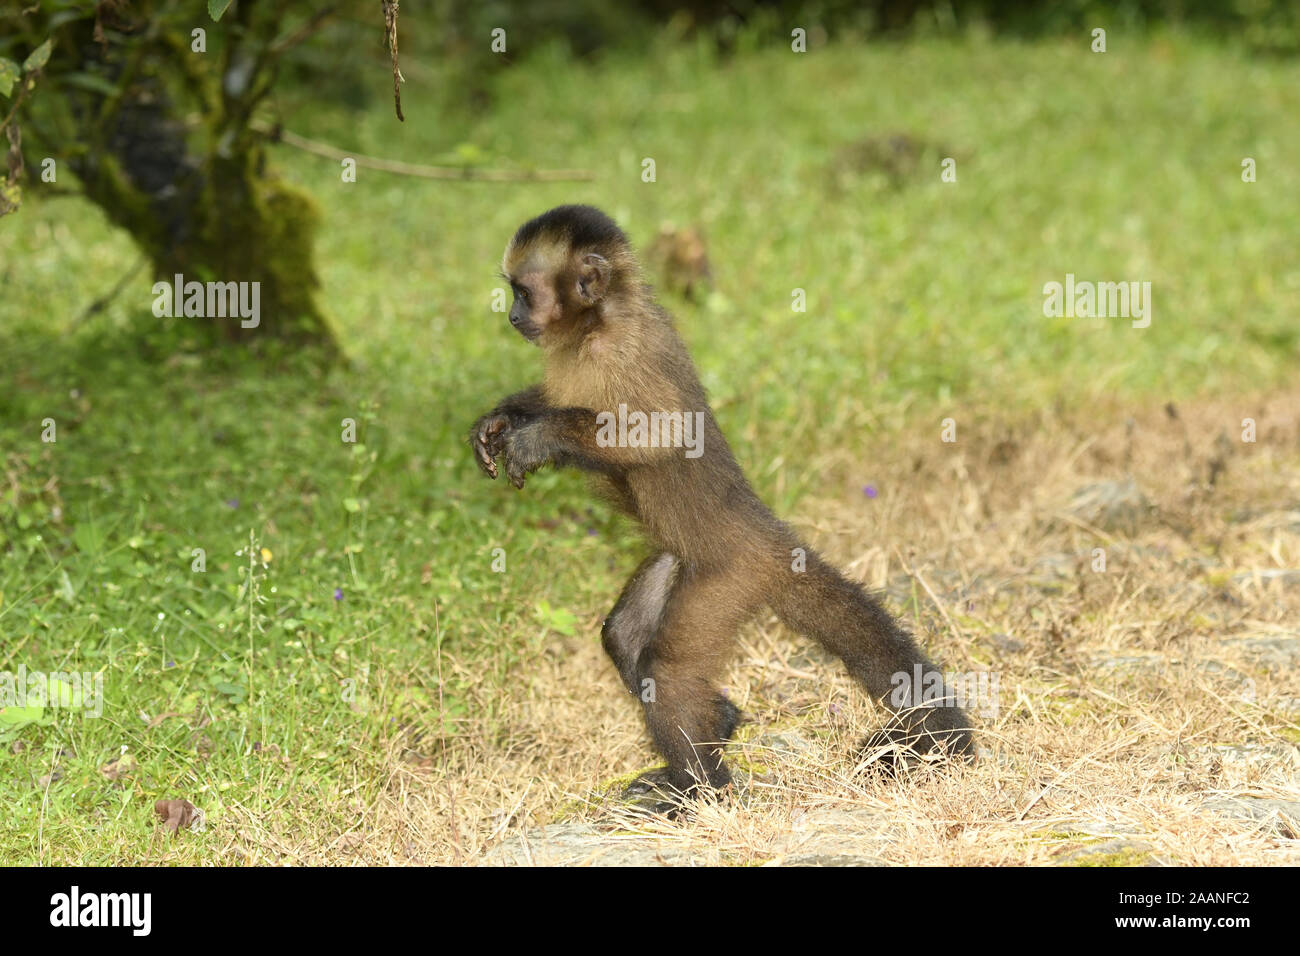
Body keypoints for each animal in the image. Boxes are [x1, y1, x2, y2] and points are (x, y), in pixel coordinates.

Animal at [470, 205, 974, 808]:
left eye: (524, 292)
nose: (513, 316)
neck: (597, 324)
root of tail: (768, 533)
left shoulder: (624, 351)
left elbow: (661, 431)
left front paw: (540, 437)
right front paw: (500, 420)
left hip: (731, 577)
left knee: (668, 671)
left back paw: (701, 793)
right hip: (679, 560)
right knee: (624, 636)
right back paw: (719, 726)